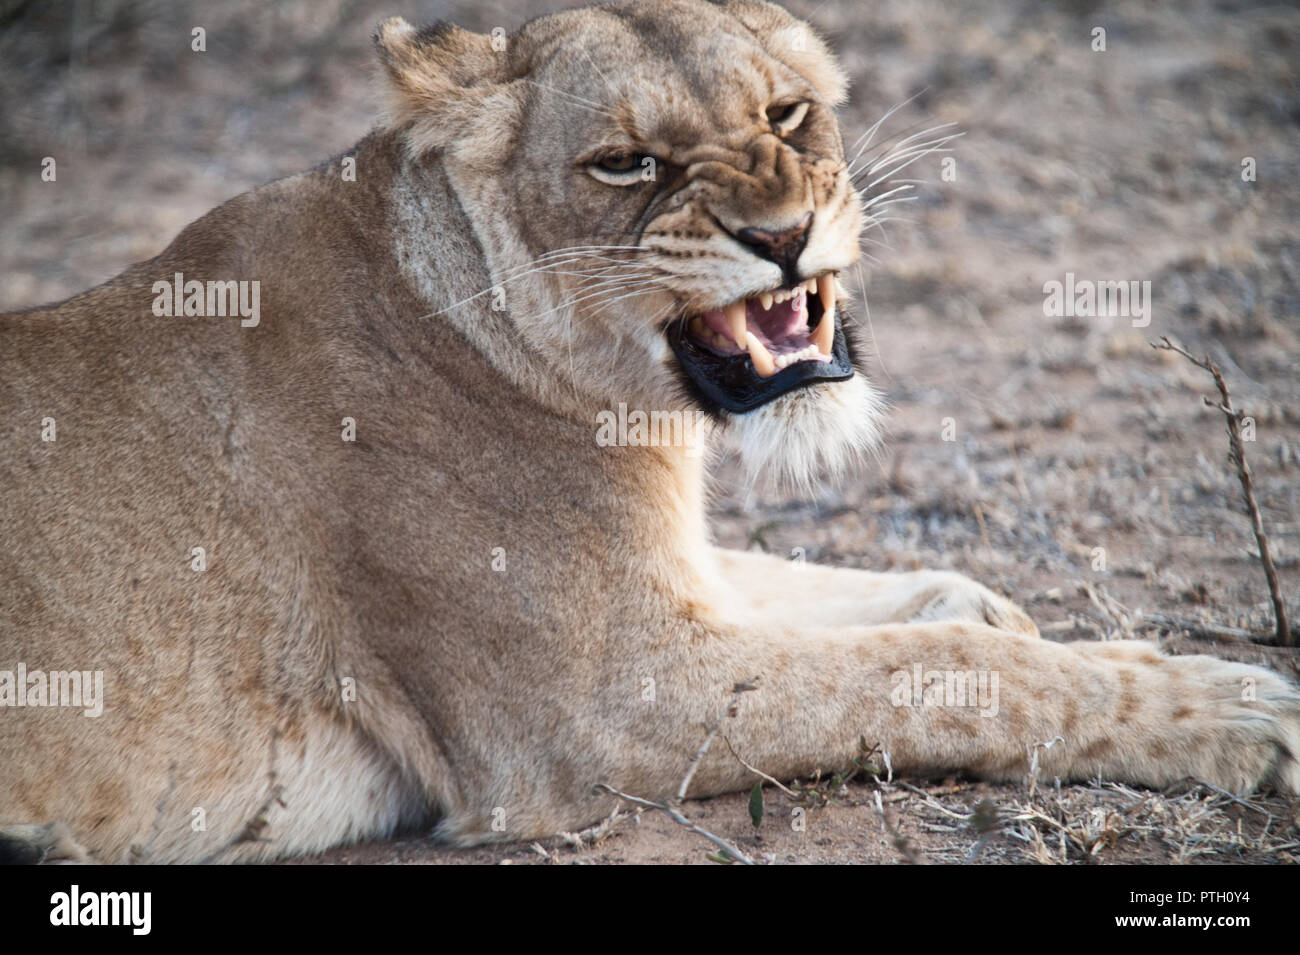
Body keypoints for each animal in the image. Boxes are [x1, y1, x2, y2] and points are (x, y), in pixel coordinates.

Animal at [1, 0, 1297, 864]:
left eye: (787, 112)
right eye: (625, 163)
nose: (781, 234)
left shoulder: (669, 590)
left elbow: (849, 599)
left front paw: (1031, 619)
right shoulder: (601, 709)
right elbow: (926, 674)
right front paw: (1235, 712)